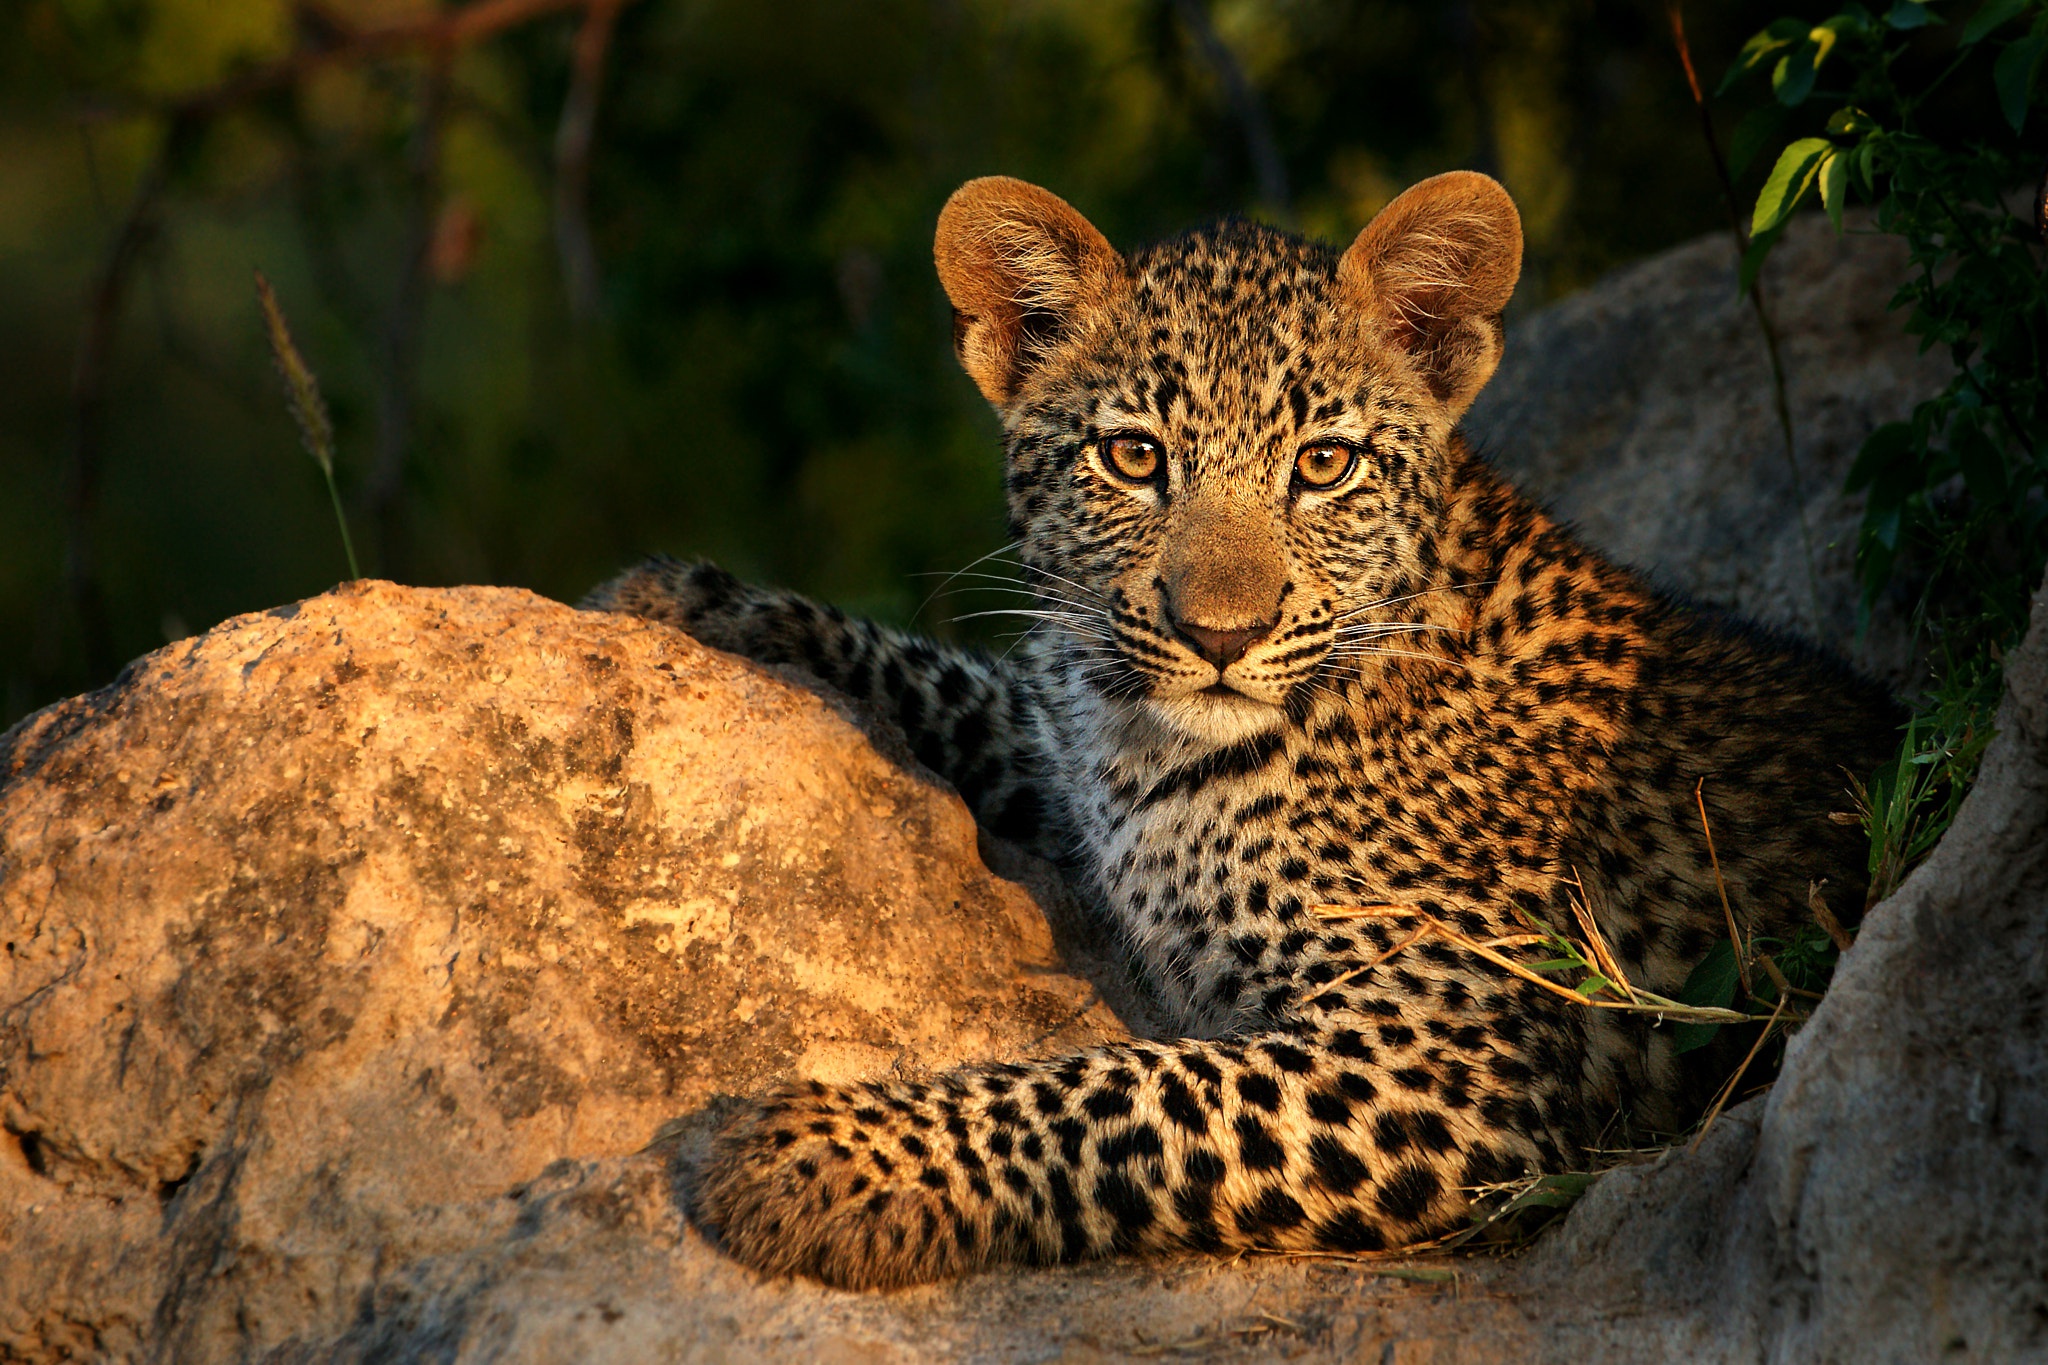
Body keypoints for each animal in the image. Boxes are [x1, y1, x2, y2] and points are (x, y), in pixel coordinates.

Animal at [586, 170, 1900, 1290]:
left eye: (1321, 465)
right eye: (1132, 457)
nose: (1220, 633)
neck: (1156, 750)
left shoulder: (1437, 1060)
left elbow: (1124, 1095)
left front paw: (827, 1155)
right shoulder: (1073, 744)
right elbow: (959, 683)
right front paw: (693, 602)